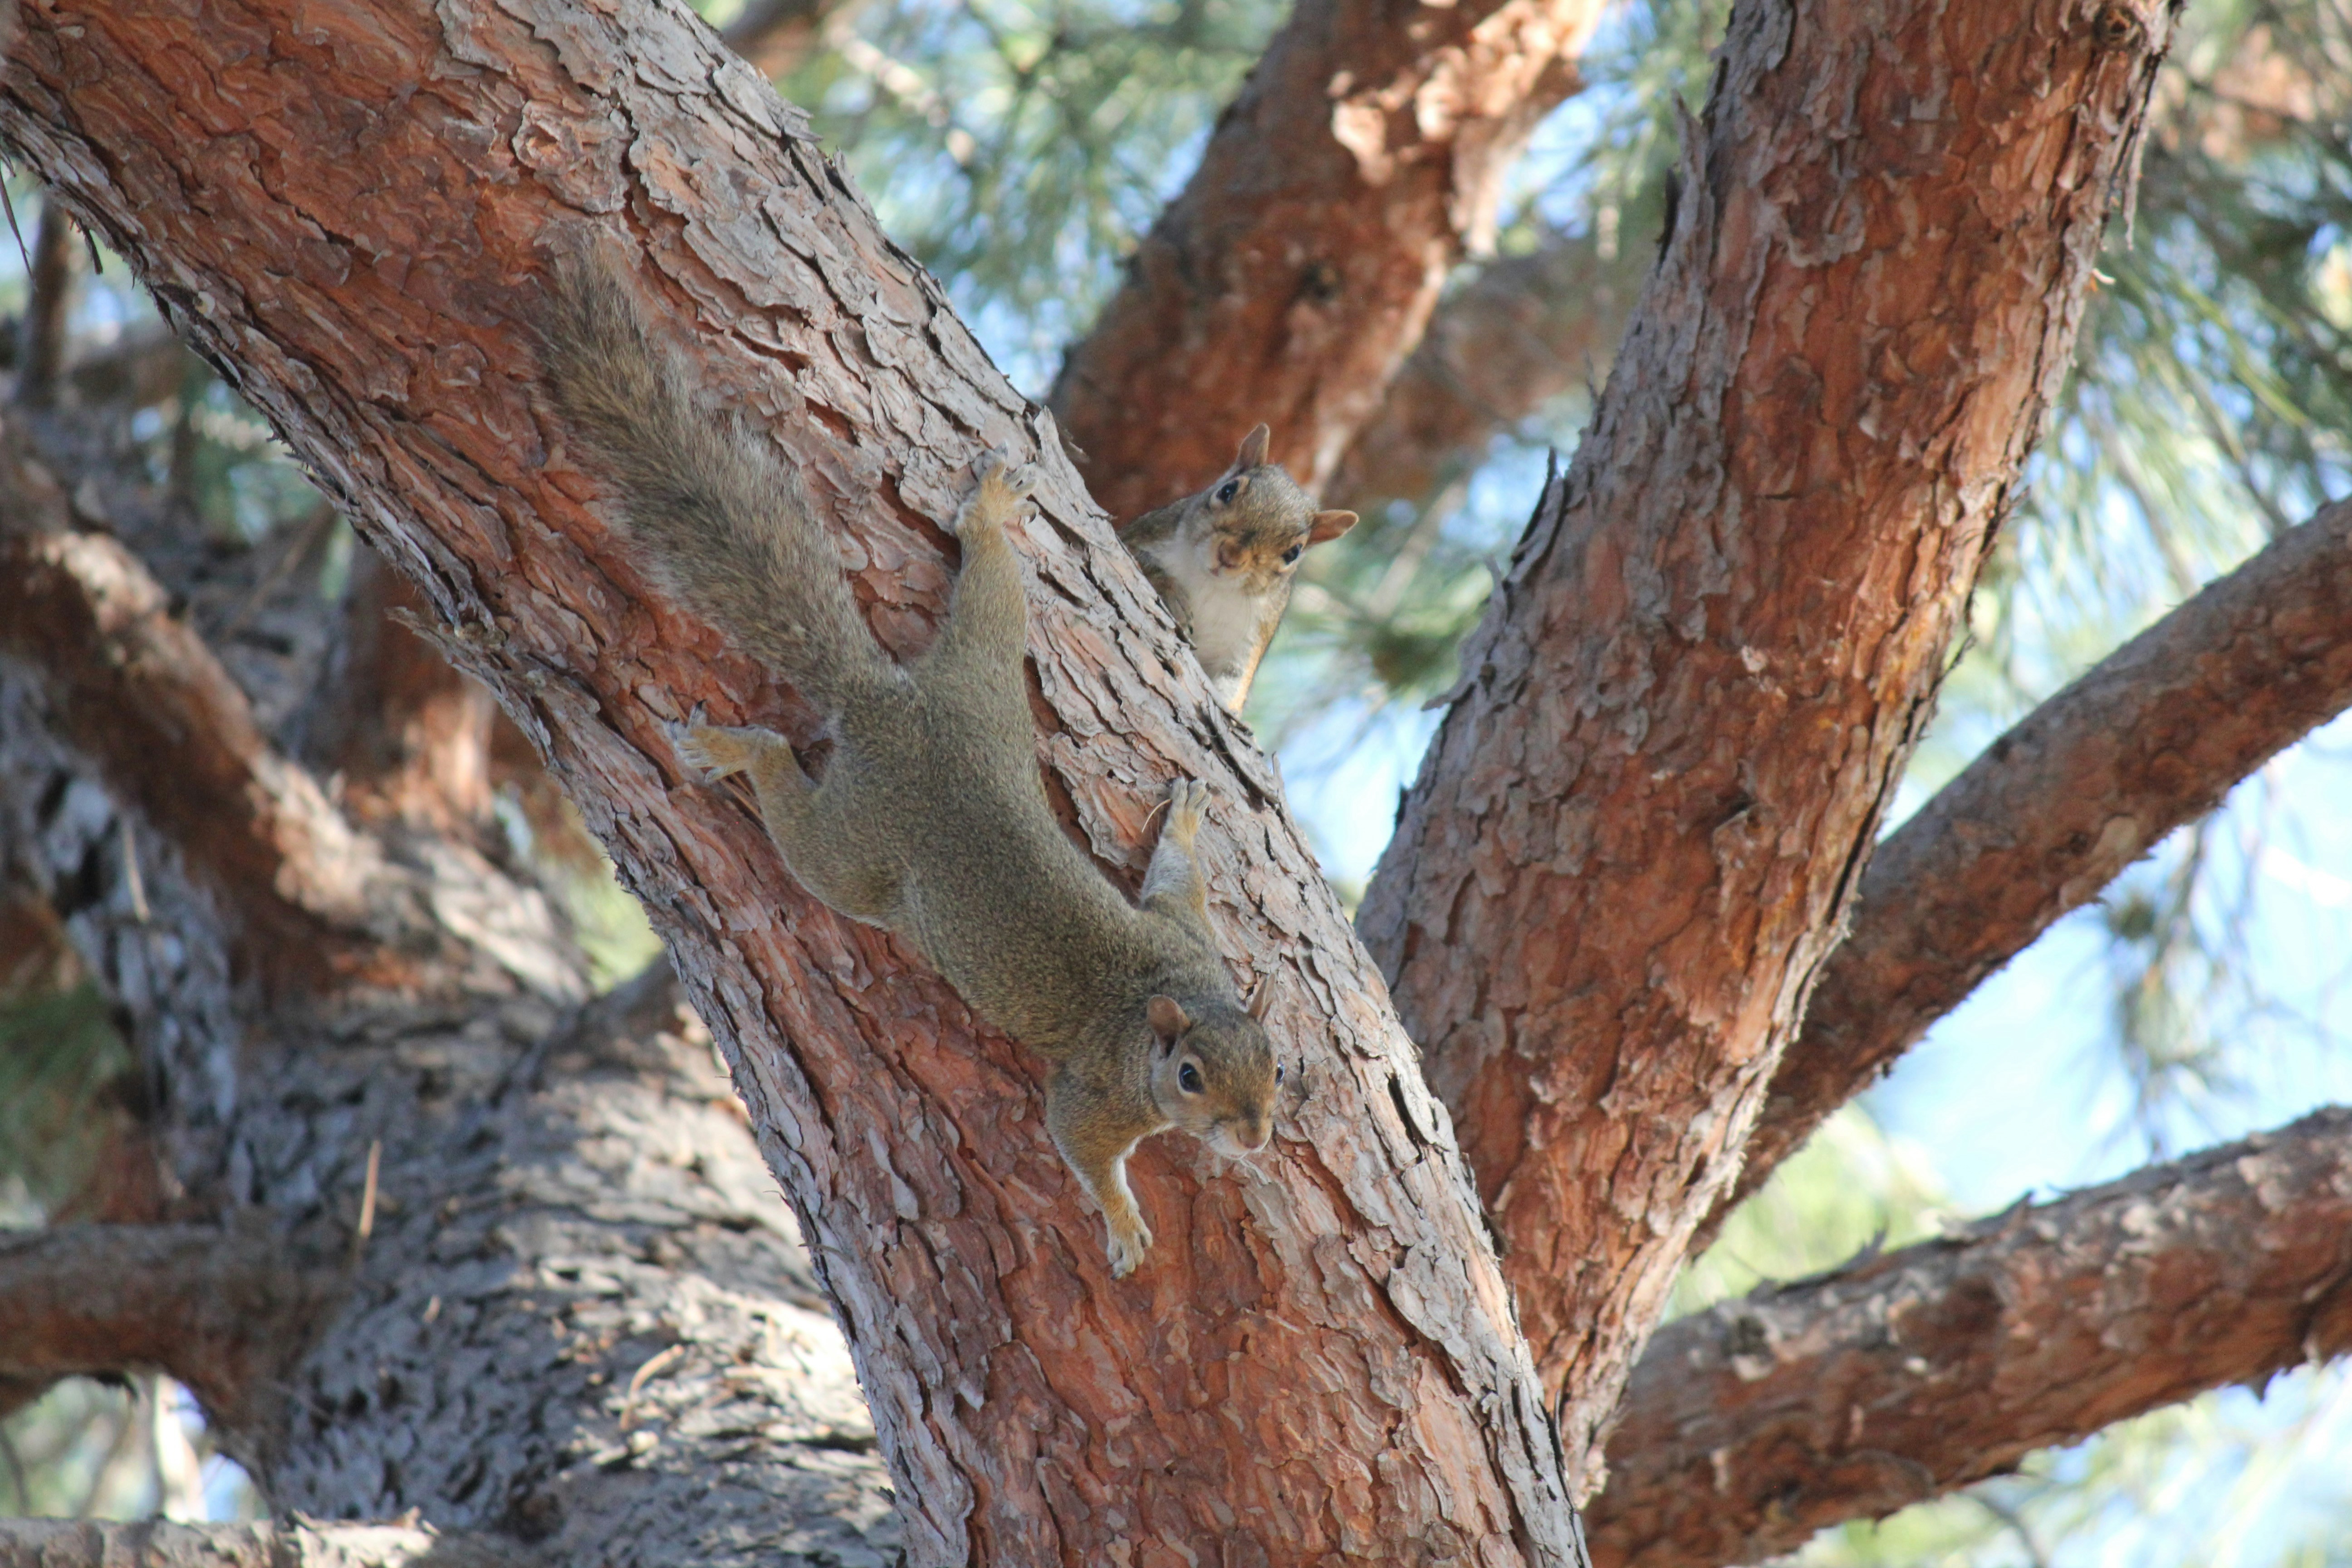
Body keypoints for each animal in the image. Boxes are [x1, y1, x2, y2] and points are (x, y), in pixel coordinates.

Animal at [536, 260, 1281, 1277]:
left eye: (1276, 1061)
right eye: (1192, 1076)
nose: (1253, 1137)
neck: (1157, 1008)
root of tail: (880, 704)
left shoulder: (1188, 934)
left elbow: (1174, 881)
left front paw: (1192, 818)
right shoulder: (1097, 1092)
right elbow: (1083, 1147)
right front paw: (1126, 1223)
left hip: (985, 674)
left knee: (991, 590)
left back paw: (994, 512)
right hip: (852, 851)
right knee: (792, 792)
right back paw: (738, 749)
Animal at [1117, 426, 1356, 713]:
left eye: (1294, 553)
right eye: (1227, 491)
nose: (1230, 556)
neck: (1210, 583)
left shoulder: (1250, 640)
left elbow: (1233, 683)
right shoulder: (1145, 533)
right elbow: (1136, 555)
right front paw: (1173, 594)